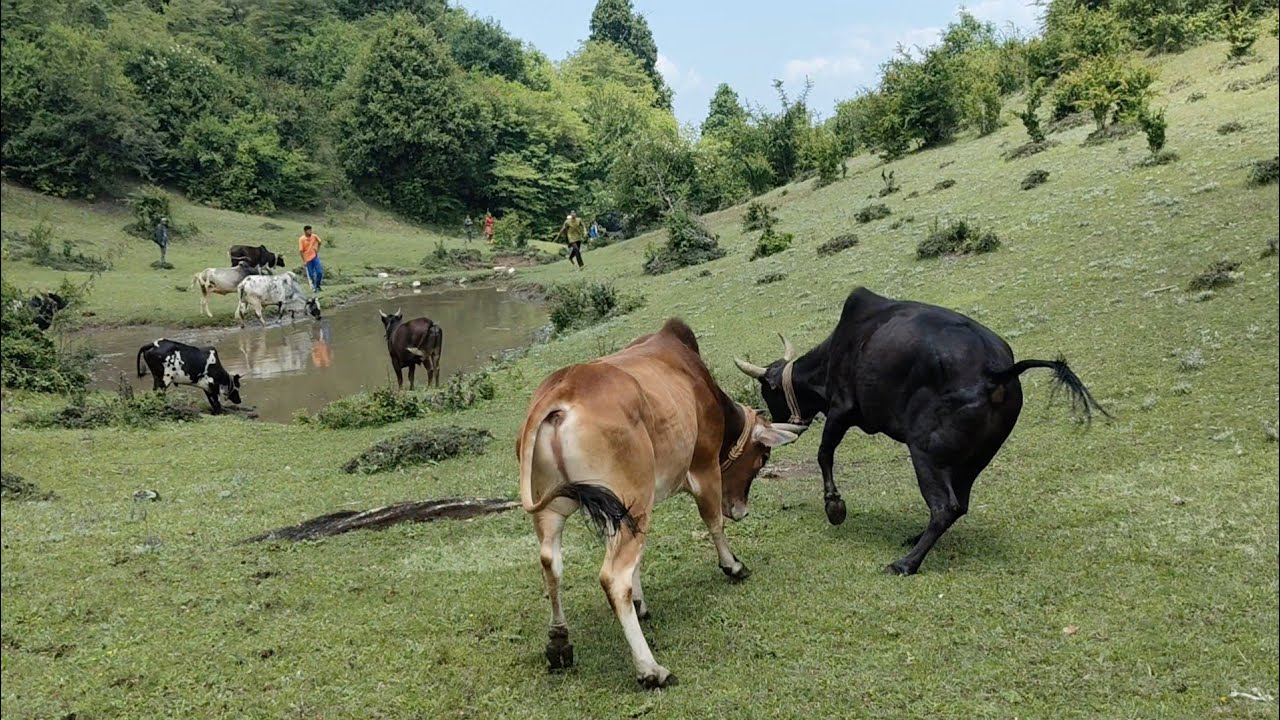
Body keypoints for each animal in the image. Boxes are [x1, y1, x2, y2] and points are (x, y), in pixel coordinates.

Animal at [517, 318, 806, 688]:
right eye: (763, 456)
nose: (741, 510)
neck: (699, 384)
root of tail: (559, 395)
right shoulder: (704, 468)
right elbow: (713, 522)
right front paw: (733, 566)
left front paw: (641, 602)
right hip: (632, 499)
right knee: (614, 578)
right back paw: (651, 669)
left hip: (561, 510)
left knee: (551, 563)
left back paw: (559, 643)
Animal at [734, 287, 1108, 576]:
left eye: (768, 390)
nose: (782, 425)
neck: (836, 351)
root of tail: (996, 372)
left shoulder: (842, 409)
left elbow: (824, 453)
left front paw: (835, 507)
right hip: (972, 461)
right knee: (958, 504)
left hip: (925, 452)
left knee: (945, 507)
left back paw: (906, 563)